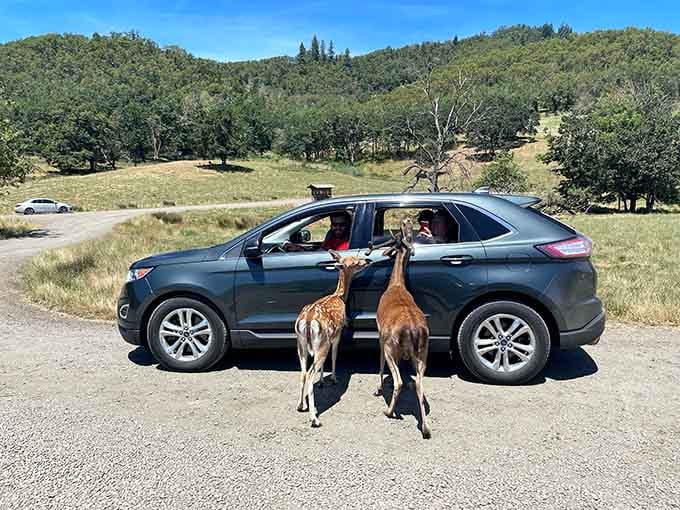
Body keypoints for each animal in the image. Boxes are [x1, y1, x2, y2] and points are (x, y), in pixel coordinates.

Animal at [295, 250, 371, 428]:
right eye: (355, 262)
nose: (367, 261)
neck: (339, 296)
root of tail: (308, 319)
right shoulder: (337, 334)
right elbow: (335, 355)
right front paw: (334, 379)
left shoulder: (327, 341)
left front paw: (323, 381)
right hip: (320, 343)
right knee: (310, 374)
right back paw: (314, 418)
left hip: (301, 344)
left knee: (303, 372)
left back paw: (301, 405)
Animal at [367, 217, 431, 439]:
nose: (407, 220)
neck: (396, 285)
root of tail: (414, 331)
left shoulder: (380, 334)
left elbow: (379, 363)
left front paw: (377, 388)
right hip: (422, 352)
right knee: (419, 382)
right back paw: (426, 428)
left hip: (391, 347)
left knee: (399, 381)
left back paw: (389, 411)